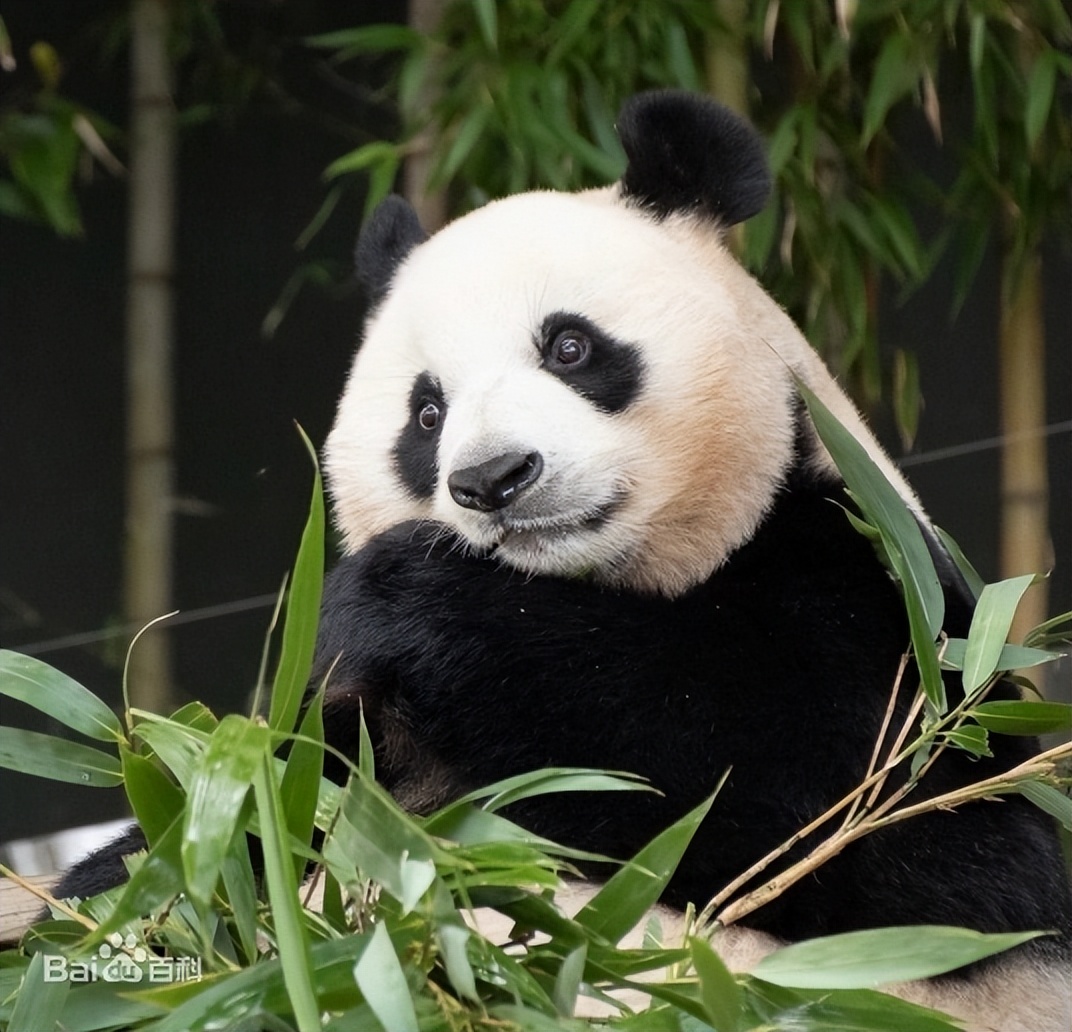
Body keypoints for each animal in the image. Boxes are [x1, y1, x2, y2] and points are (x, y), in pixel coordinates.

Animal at [50, 91, 1069, 1028]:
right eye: (427, 413)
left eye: (570, 345)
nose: (493, 479)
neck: (595, 586)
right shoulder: (348, 753)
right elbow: (218, 829)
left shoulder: (878, 597)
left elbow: (898, 832)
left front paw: (397, 596)